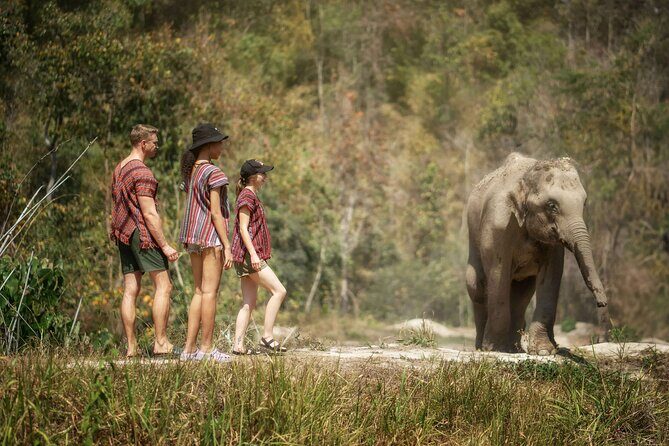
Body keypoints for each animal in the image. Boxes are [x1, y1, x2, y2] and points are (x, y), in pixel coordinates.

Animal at [465, 153, 611, 354]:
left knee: (521, 294)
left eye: (584, 203)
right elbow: (498, 274)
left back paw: (515, 349)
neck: (525, 179)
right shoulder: (497, 224)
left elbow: (551, 276)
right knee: (477, 287)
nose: (602, 303)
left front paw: (544, 351)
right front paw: (494, 349)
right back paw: (483, 347)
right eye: (552, 205)